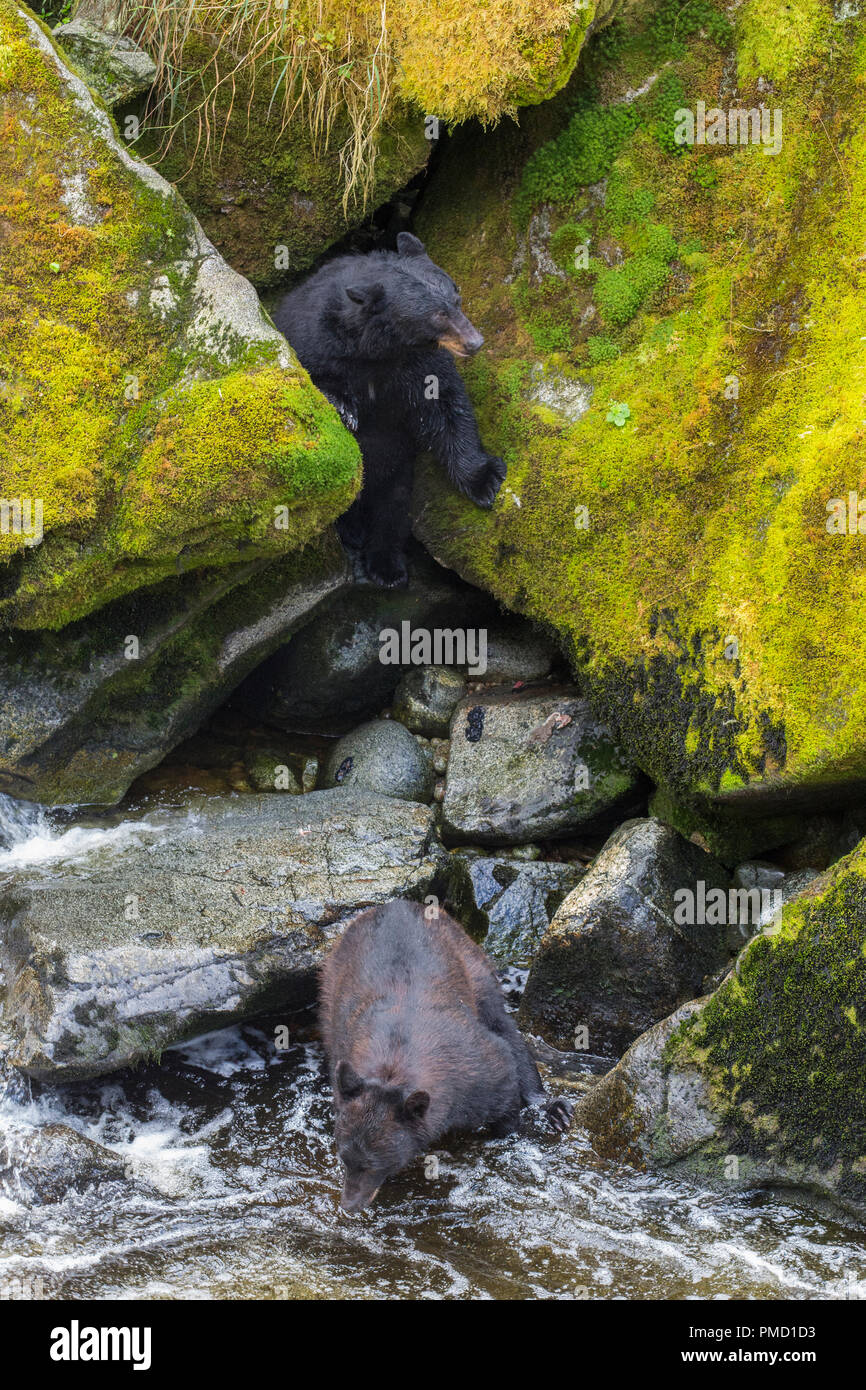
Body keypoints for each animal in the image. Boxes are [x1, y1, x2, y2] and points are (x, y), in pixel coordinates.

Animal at [273, 232, 505, 588]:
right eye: (436, 315)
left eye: (457, 297)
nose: (475, 342)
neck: (378, 352)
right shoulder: (312, 342)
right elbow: (309, 382)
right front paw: (345, 409)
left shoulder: (418, 365)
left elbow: (448, 407)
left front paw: (484, 478)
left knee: (393, 506)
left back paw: (387, 565)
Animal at [318, 899, 572, 1213]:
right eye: (344, 1158)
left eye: (373, 1164)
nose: (348, 1205)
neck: (394, 1068)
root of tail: (398, 904)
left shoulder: (478, 1073)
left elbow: (504, 1087)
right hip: (330, 984)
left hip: (473, 964)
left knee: (504, 1025)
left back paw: (553, 1108)